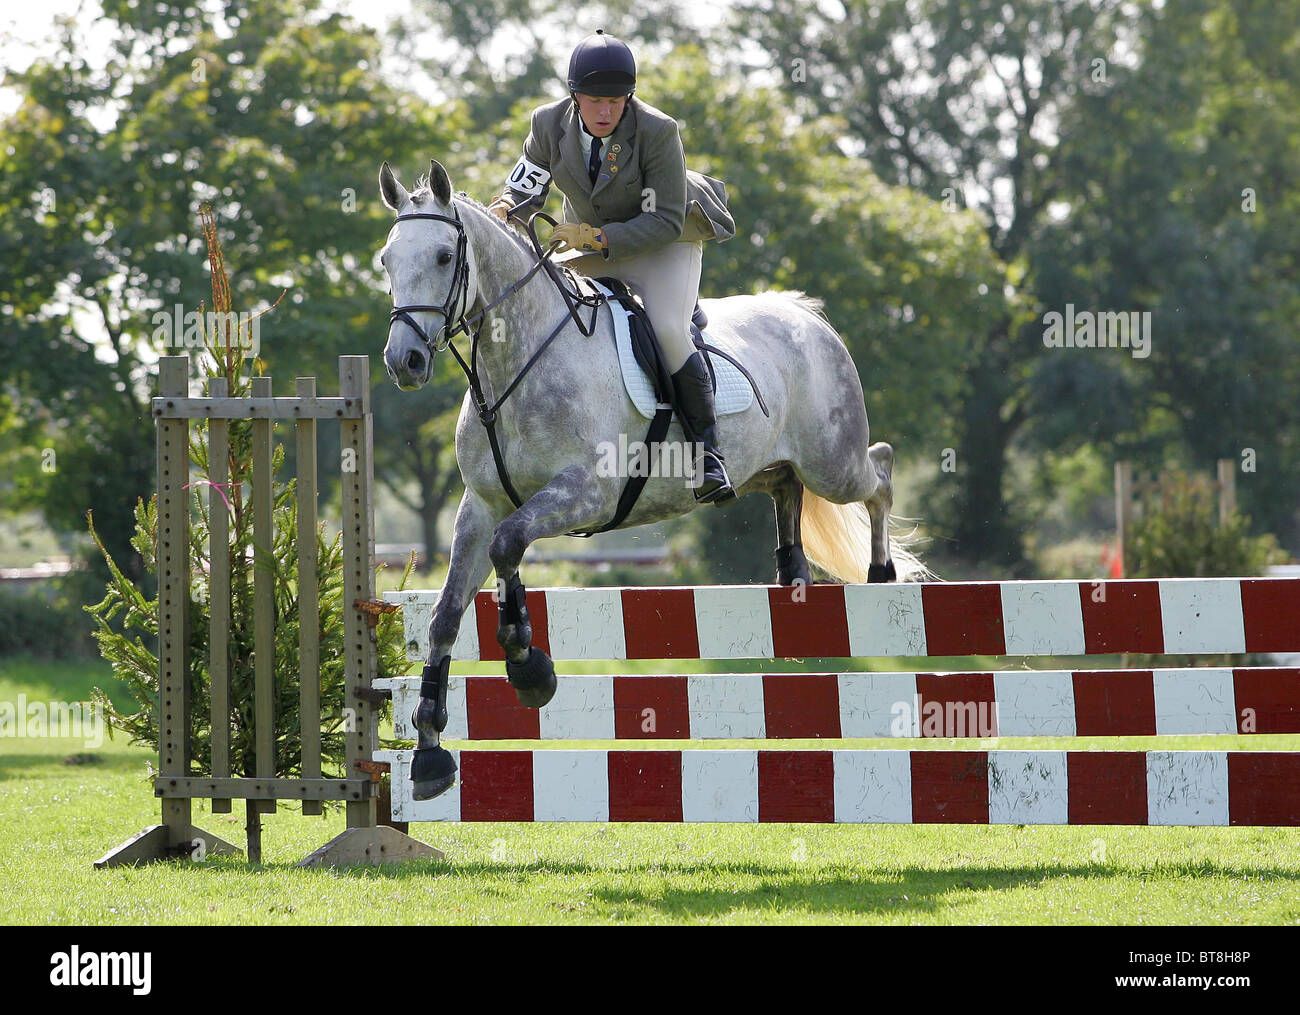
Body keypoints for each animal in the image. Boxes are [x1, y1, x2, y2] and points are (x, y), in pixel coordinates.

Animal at [377, 159, 925, 800]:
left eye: (444, 256)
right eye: (386, 259)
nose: (405, 362)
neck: (516, 358)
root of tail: (805, 317)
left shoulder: (587, 495)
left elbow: (509, 545)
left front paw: (528, 667)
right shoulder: (481, 504)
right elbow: (447, 612)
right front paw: (429, 752)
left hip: (833, 462)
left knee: (880, 470)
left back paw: (880, 571)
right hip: (761, 466)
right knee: (785, 485)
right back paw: (791, 571)